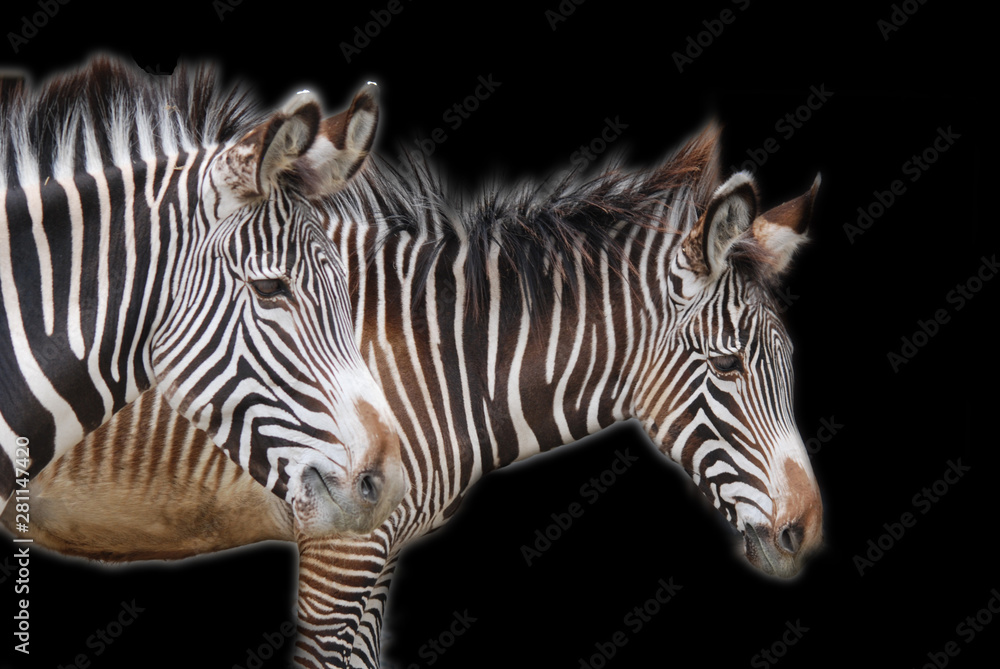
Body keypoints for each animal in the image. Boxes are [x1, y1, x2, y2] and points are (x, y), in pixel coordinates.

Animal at [8, 124, 824, 667]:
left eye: (790, 364)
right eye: (727, 366)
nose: (805, 534)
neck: (445, 360)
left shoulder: (376, 557)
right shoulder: (340, 550)